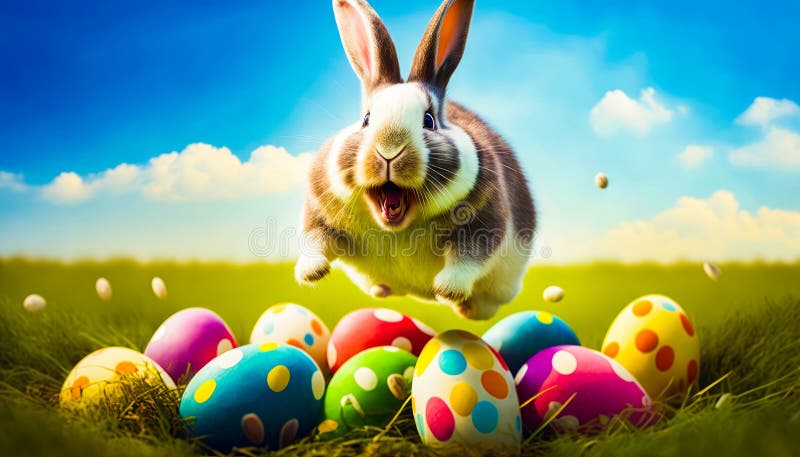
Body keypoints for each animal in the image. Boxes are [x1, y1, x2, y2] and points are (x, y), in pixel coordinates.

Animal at [295, 0, 536, 320]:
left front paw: (447, 290)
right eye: (366, 119)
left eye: (429, 120)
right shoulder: (319, 210)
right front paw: (312, 272)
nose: (389, 150)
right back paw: (381, 289)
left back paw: (466, 308)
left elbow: (469, 256)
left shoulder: (484, 221)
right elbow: (315, 238)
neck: (399, 227)